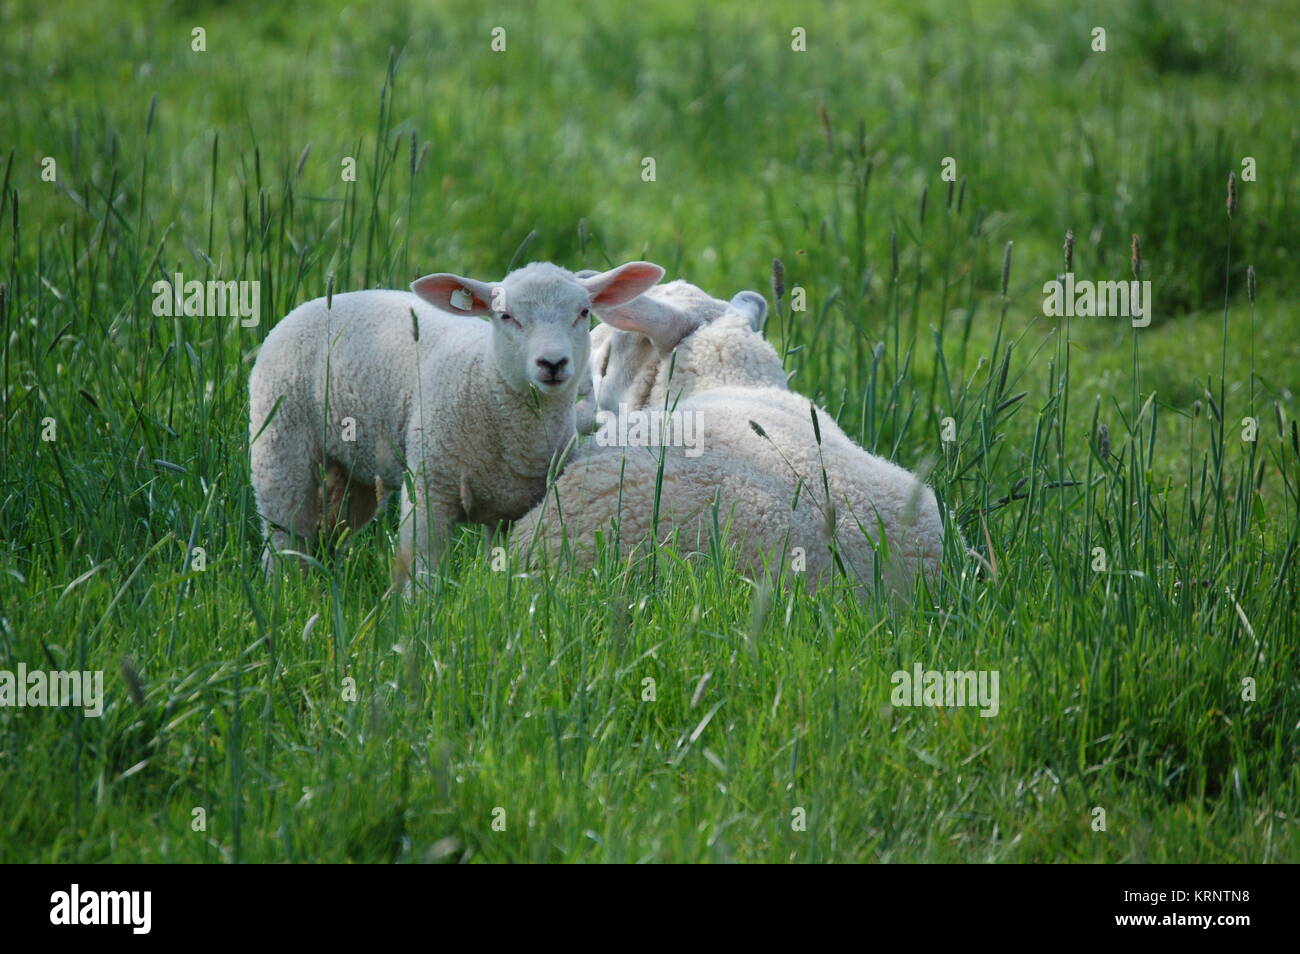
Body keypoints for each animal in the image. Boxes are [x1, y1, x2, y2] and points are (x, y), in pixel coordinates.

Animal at [248, 260, 665, 581]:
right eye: (505, 316)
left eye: (582, 313)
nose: (553, 363)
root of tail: (326, 298)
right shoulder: (430, 491)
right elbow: (424, 572)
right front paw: (419, 619)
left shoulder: (516, 509)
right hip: (278, 440)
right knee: (282, 532)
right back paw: (282, 591)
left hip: (353, 474)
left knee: (325, 531)